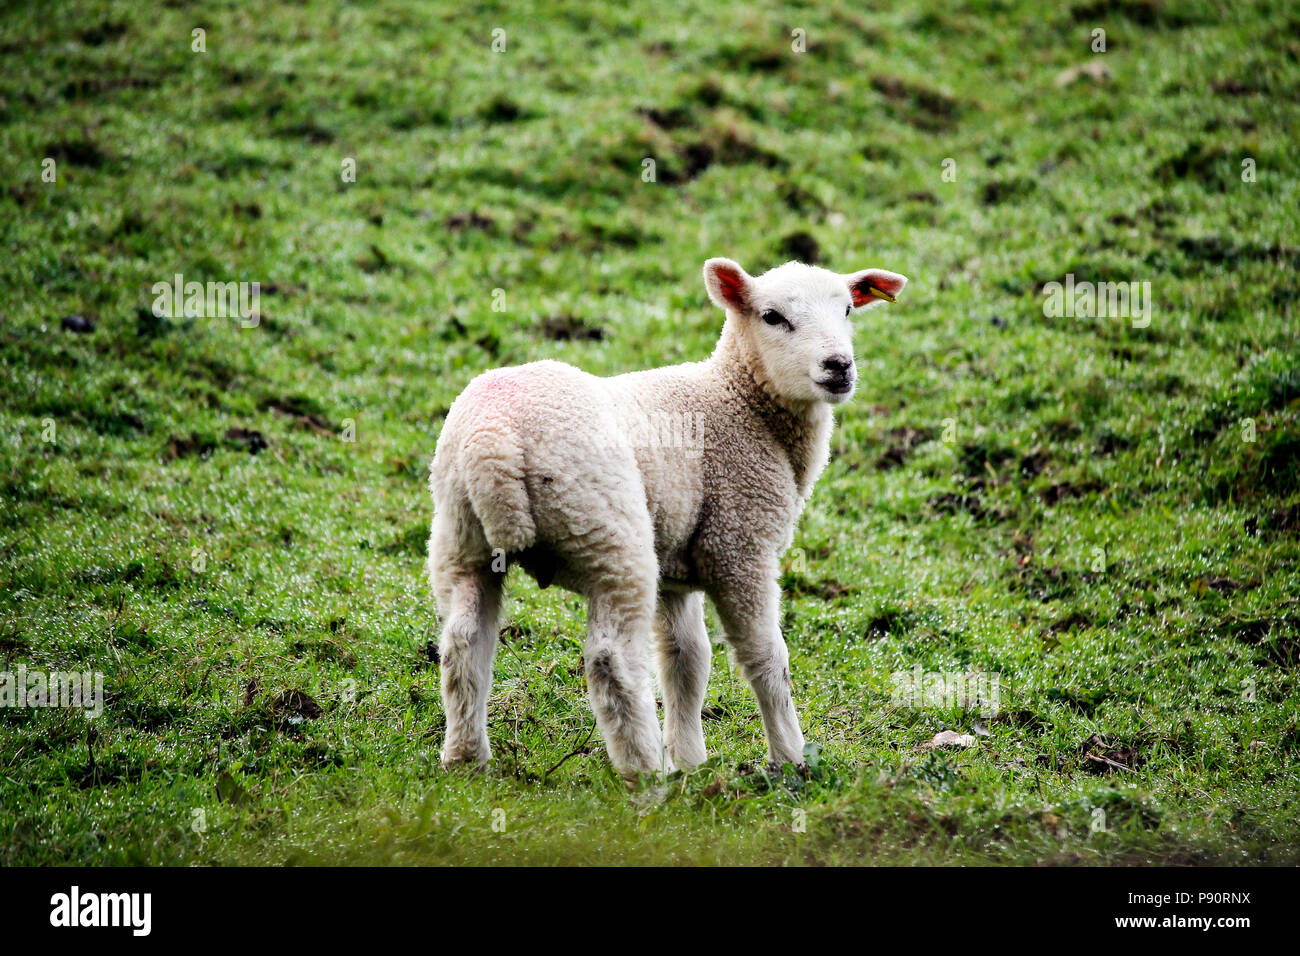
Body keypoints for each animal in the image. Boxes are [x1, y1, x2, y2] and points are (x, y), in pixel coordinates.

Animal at [427, 257, 907, 782]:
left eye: (848, 310)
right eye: (772, 316)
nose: (838, 366)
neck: (738, 403)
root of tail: (494, 436)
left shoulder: (678, 567)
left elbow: (687, 660)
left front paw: (691, 762)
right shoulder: (739, 543)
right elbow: (766, 657)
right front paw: (789, 759)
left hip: (459, 537)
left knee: (464, 643)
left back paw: (465, 760)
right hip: (610, 536)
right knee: (610, 661)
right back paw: (644, 772)